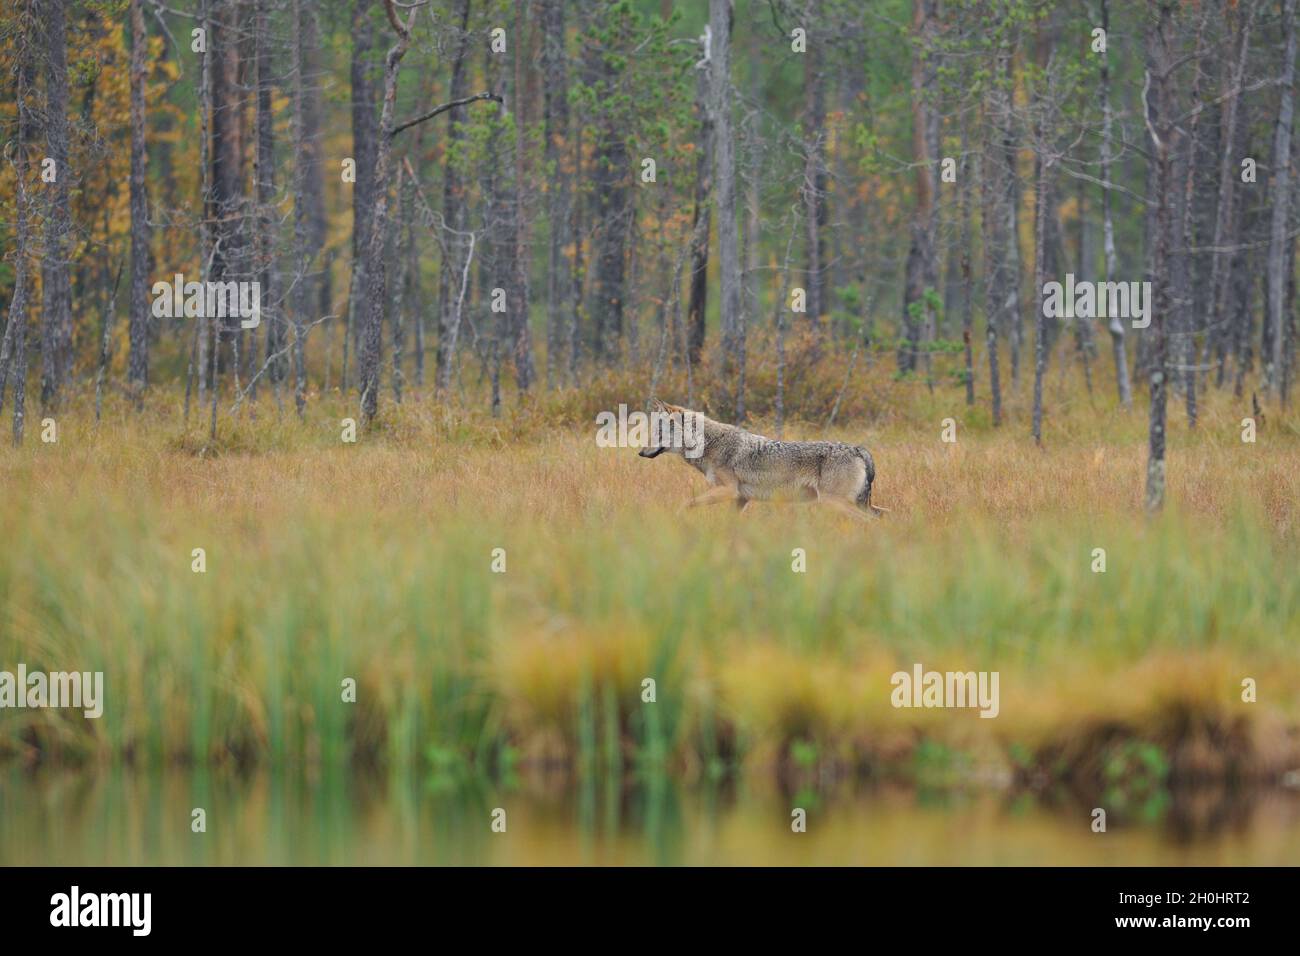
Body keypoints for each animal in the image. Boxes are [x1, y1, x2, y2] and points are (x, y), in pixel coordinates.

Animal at [637, 399, 886, 520]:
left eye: (657, 433)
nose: (640, 452)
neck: (708, 444)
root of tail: (859, 450)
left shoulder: (728, 491)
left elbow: (687, 502)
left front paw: (675, 517)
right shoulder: (741, 498)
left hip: (834, 503)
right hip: (858, 504)